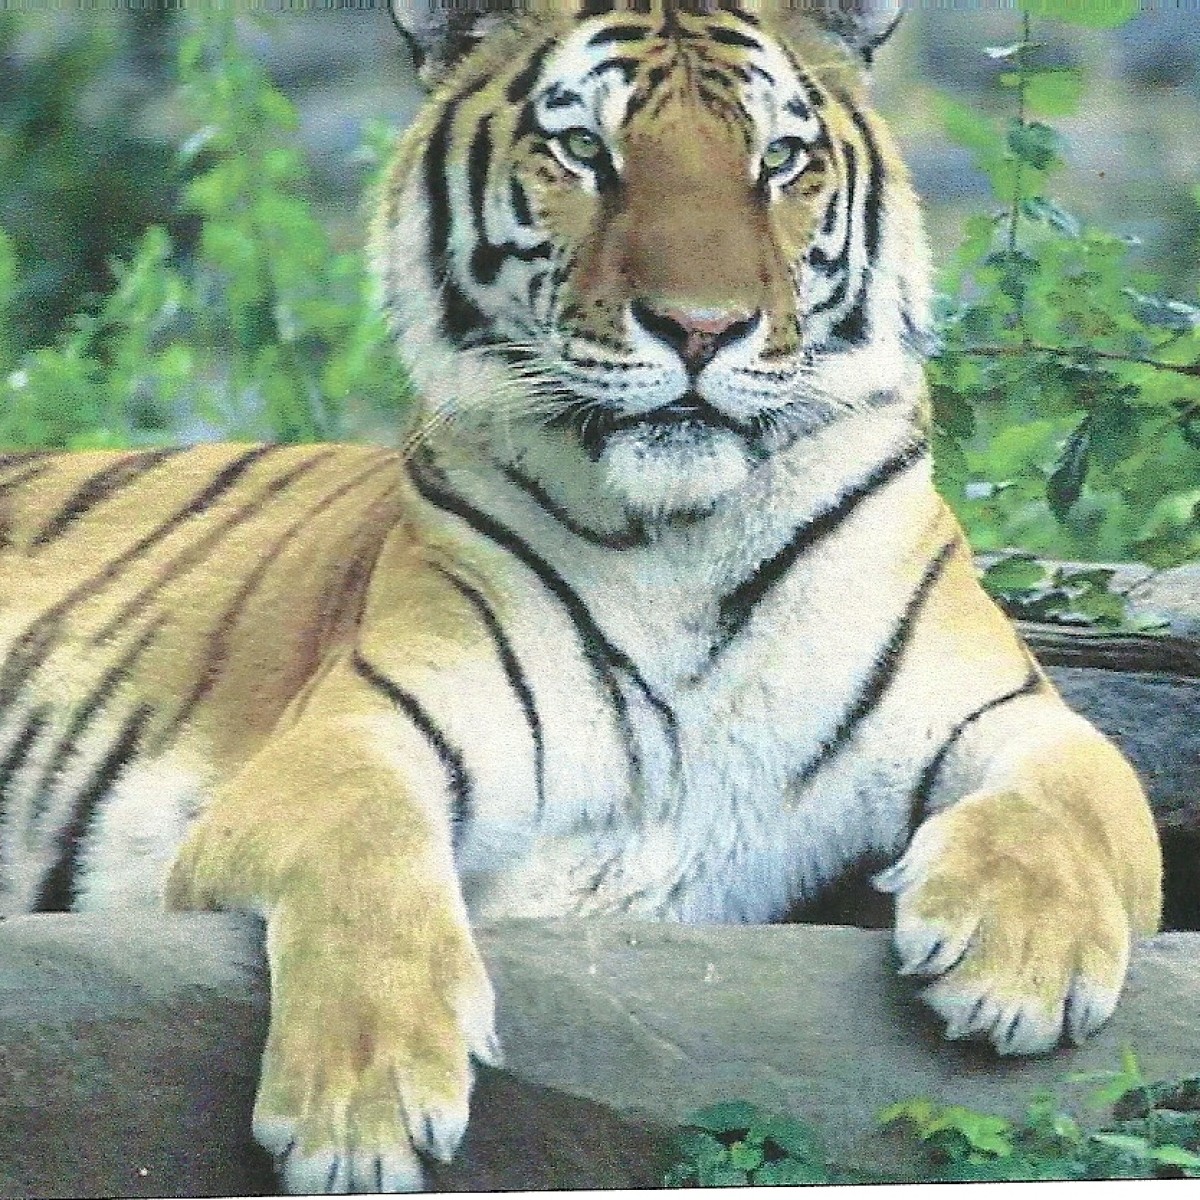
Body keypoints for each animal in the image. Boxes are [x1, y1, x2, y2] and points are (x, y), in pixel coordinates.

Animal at [0, 0, 1162, 1193]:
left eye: (777, 160)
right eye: (584, 151)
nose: (701, 329)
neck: (684, 540)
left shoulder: (1008, 709)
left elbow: (1087, 794)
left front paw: (1018, 968)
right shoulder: (352, 736)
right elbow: (368, 853)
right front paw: (363, 1109)